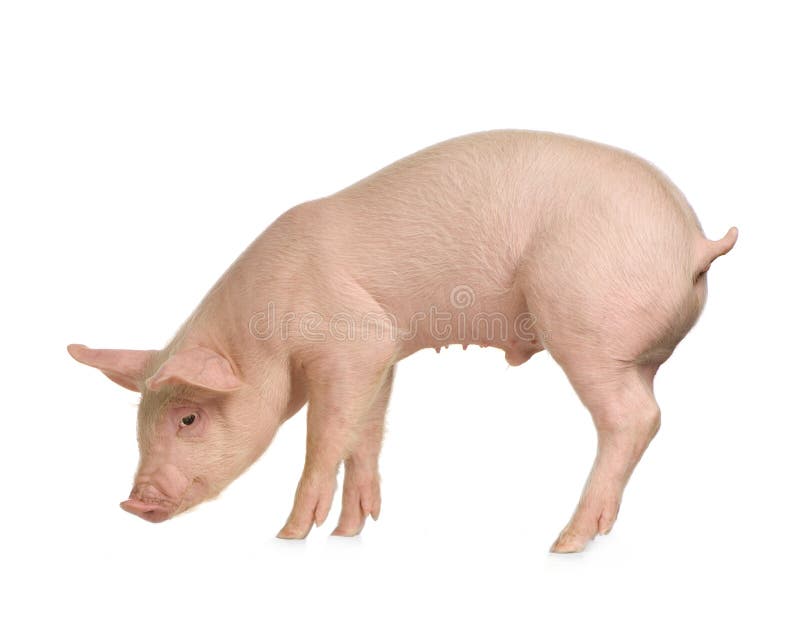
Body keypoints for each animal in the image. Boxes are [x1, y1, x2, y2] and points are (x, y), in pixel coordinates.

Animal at [68, 130, 737, 553]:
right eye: (138, 425)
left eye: (187, 418)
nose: (133, 503)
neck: (267, 336)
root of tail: (695, 241)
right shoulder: (383, 357)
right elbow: (363, 435)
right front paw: (349, 532)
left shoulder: (354, 340)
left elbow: (324, 436)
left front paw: (290, 535)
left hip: (585, 323)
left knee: (637, 417)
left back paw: (566, 543)